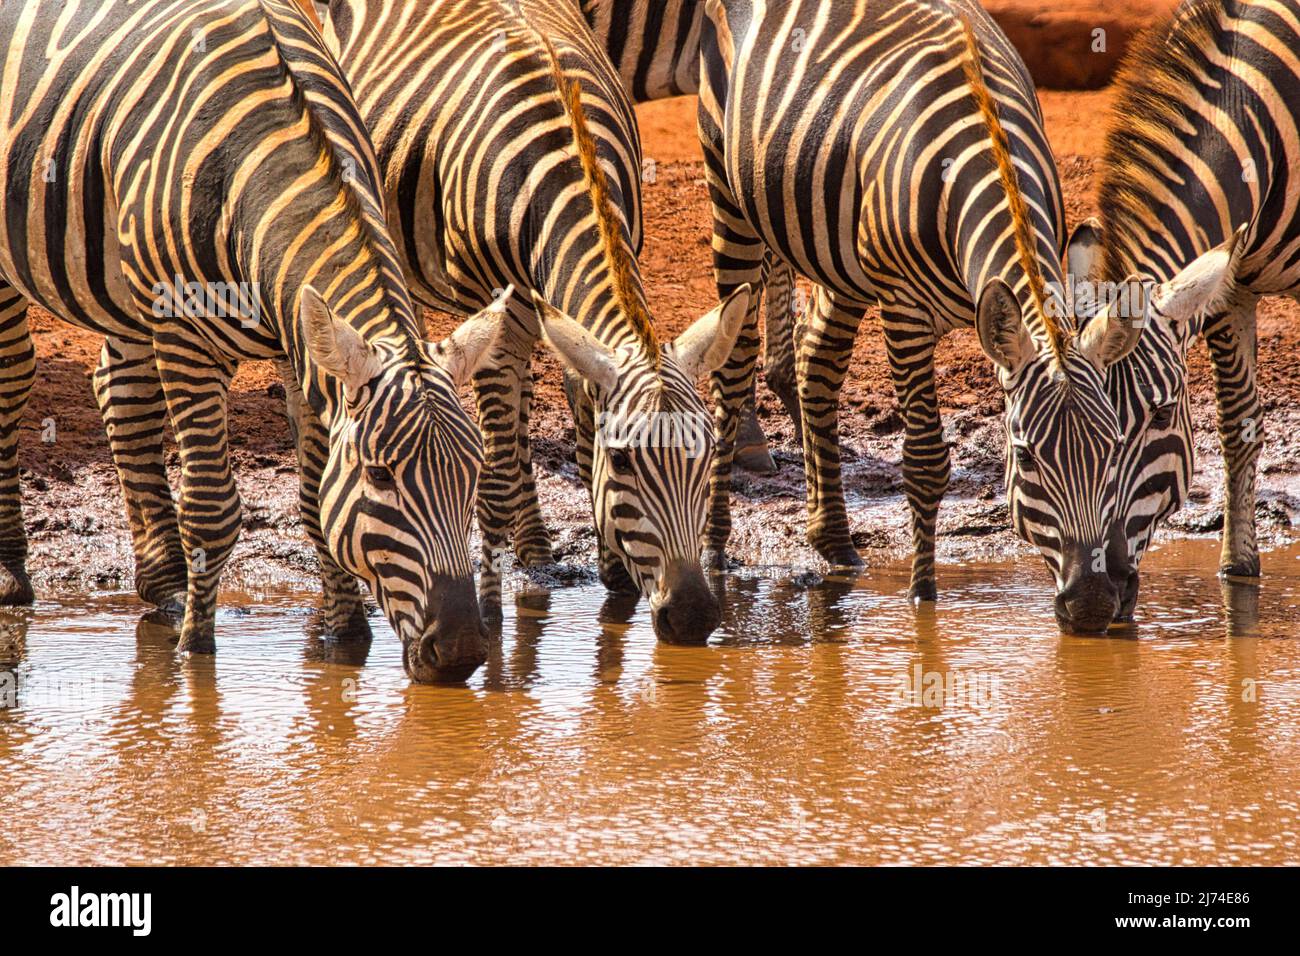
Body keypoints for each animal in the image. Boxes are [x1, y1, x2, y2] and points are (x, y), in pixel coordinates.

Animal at [0, 0, 508, 681]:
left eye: (474, 472)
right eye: (379, 474)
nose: (461, 653)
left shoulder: (304, 348)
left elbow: (317, 500)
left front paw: (342, 637)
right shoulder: (186, 340)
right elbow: (212, 511)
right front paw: (194, 654)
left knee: (119, 390)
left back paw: (165, 587)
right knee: (14, 376)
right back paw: (12, 571)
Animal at [321, 0, 749, 642]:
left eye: (705, 452)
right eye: (624, 461)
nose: (696, 617)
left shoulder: (578, 319)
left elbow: (580, 433)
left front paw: (614, 580)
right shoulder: (500, 318)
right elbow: (494, 483)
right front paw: (493, 616)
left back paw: (537, 547)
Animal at [695, 0, 1155, 632]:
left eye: (1112, 448)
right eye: (1024, 456)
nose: (1090, 607)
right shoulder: (904, 309)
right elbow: (924, 462)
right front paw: (922, 600)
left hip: (841, 256)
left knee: (817, 362)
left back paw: (836, 545)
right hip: (730, 197)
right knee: (731, 374)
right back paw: (717, 548)